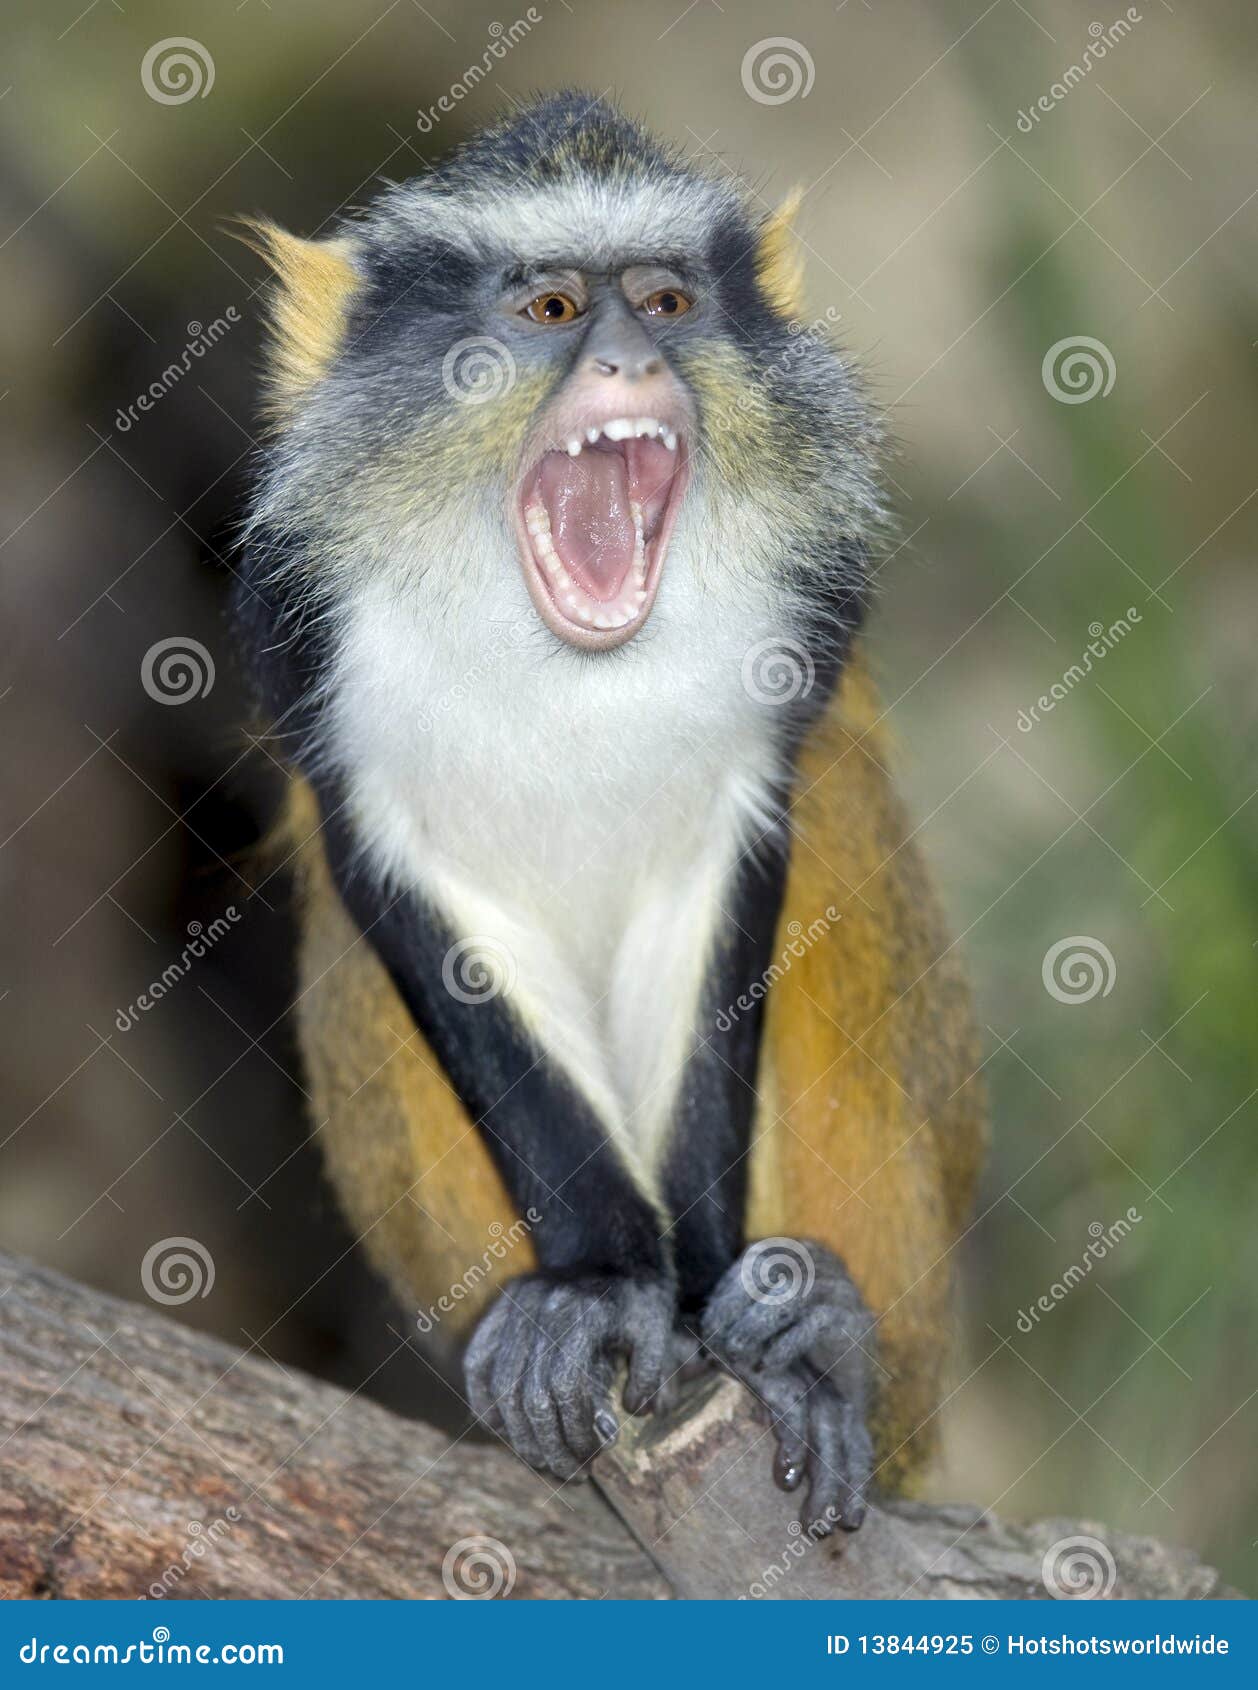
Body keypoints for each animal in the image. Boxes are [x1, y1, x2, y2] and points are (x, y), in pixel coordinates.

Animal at [233, 93, 985, 1537]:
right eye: (551, 308)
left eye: (669, 300)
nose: (635, 358)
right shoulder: (309, 640)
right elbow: (393, 889)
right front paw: (592, 1288)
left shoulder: (788, 645)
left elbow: (741, 856)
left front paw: (698, 1309)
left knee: (844, 819)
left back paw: (835, 1344)